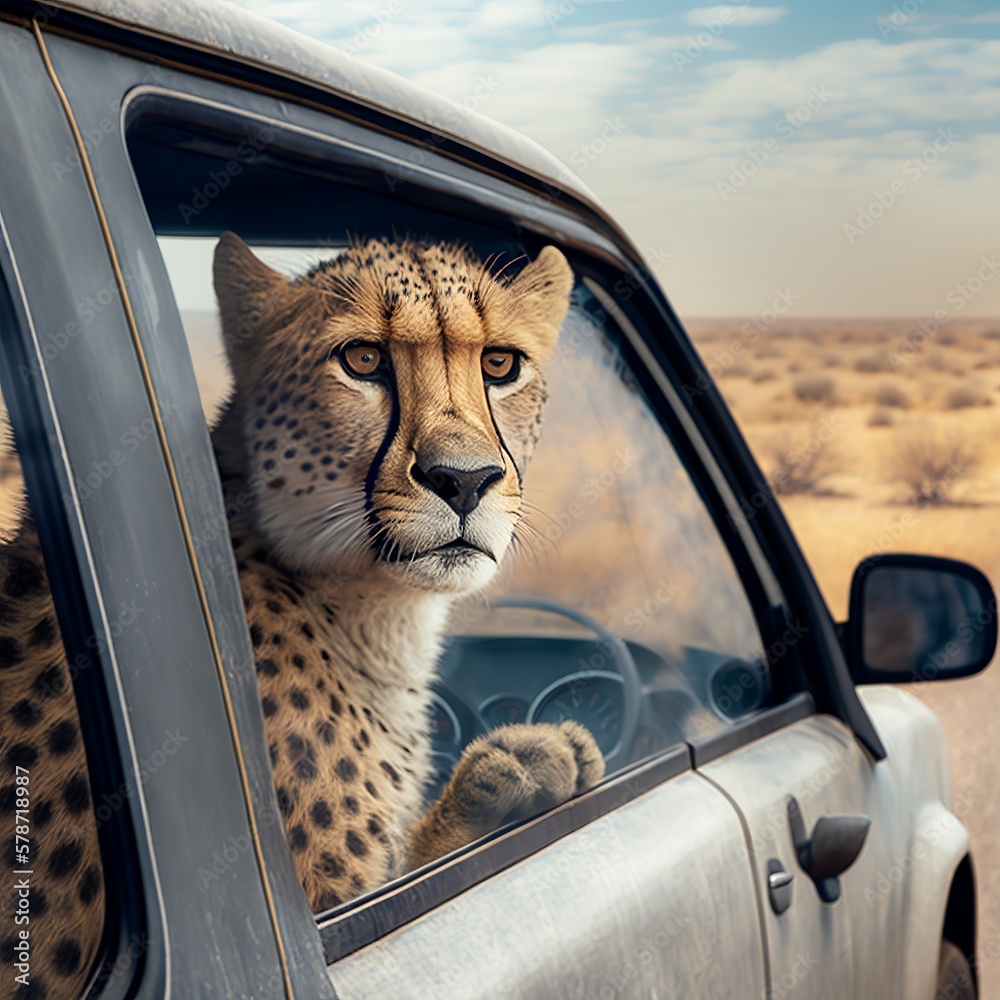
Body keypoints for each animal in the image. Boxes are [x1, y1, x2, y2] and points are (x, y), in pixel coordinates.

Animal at [0, 232, 604, 998]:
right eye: (363, 360)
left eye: (501, 364)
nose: (465, 480)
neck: (367, 609)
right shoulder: (314, 915)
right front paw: (512, 779)